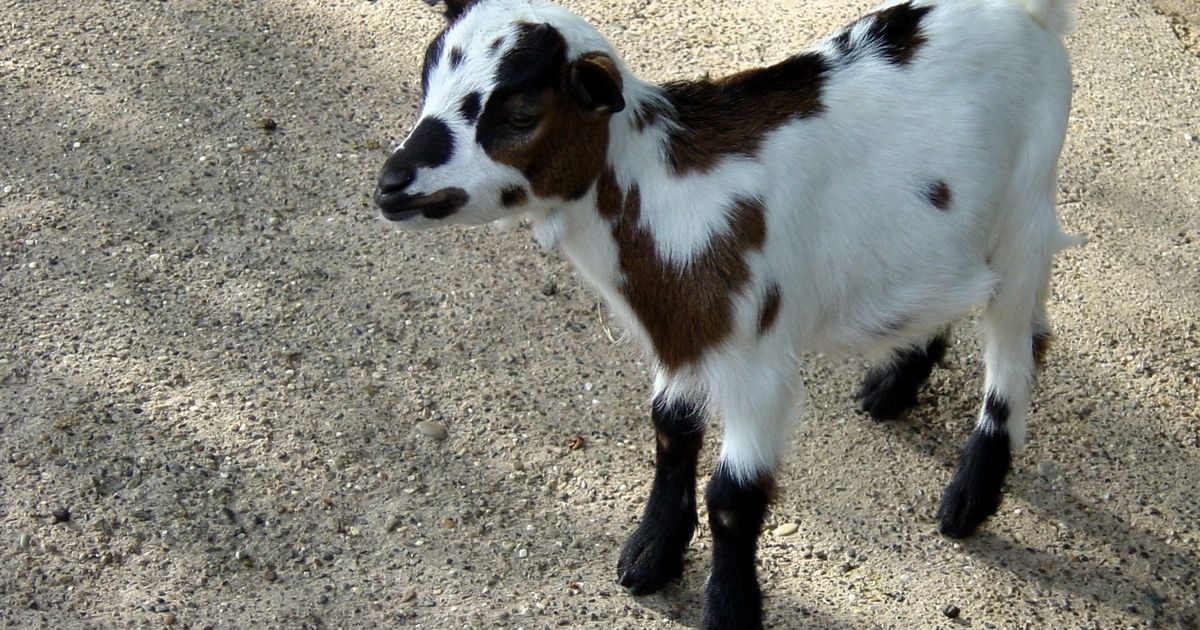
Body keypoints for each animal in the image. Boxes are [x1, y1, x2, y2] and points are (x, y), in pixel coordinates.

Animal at [374, 0, 1077, 627]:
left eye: (521, 113)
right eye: (427, 81)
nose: (391, 184)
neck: (665, 193)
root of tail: (1027, 13)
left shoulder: (755, 361)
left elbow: (734, 497)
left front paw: (729, 609)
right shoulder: (684, 333)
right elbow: (670, 434)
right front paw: (650, 554)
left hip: (1027, 204)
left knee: (1018, 341)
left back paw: (971, 495)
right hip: (944, 228)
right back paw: (893, 384)